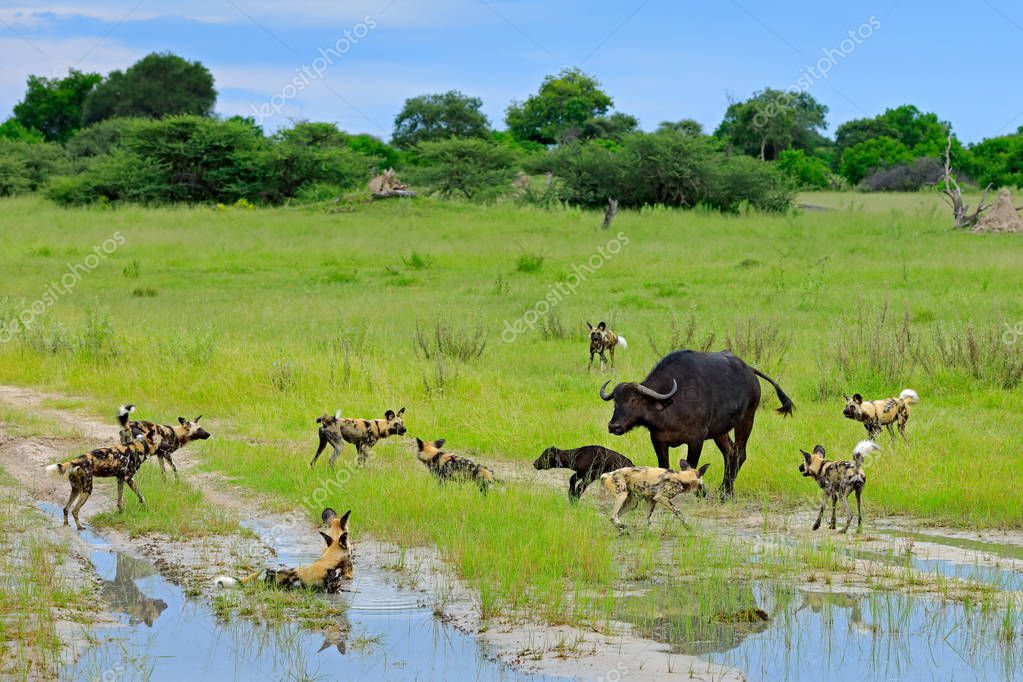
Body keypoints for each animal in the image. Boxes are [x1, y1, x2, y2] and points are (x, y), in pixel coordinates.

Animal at [599, 350, 794, 497]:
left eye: (633, 400)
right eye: (616, 401)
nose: (614, 426)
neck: (671, 403)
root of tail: (749, 371)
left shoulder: (696, 440)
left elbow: (692, 466)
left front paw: (698, 492)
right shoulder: (658, 440)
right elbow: (664, 466)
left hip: (746, 421)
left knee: (740, 454)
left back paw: (727, 493)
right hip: (719, 431)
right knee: (729, 453)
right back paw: (724, 488)